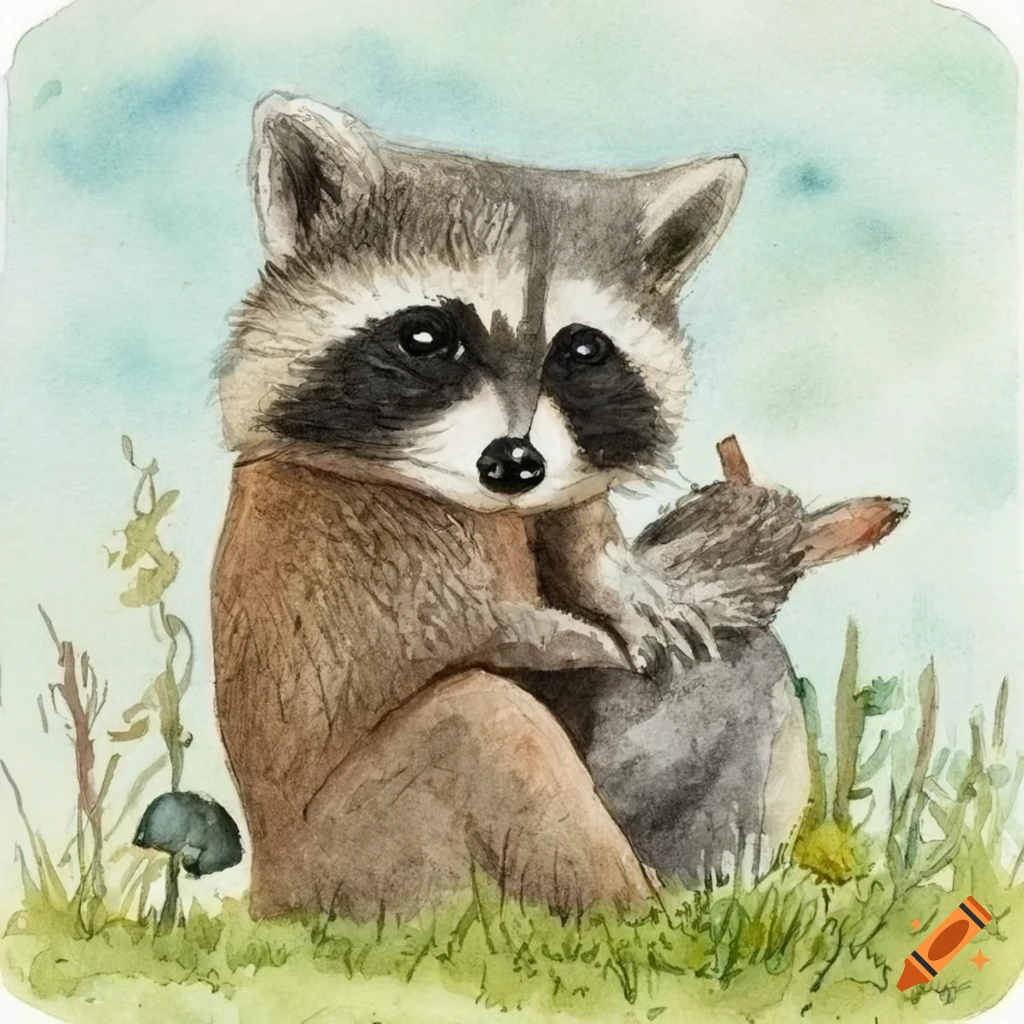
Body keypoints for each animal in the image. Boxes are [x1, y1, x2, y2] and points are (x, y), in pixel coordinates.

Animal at [212, 91, 758, 919]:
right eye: (426, 337)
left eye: (583, 350)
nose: (515, 463)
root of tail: (269, 893)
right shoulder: (370, 543)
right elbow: (480, 630)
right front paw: (586, 637)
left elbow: (572, 523)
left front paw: (620, 583)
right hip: (364, 854)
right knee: (488, 721)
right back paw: (635, 909)